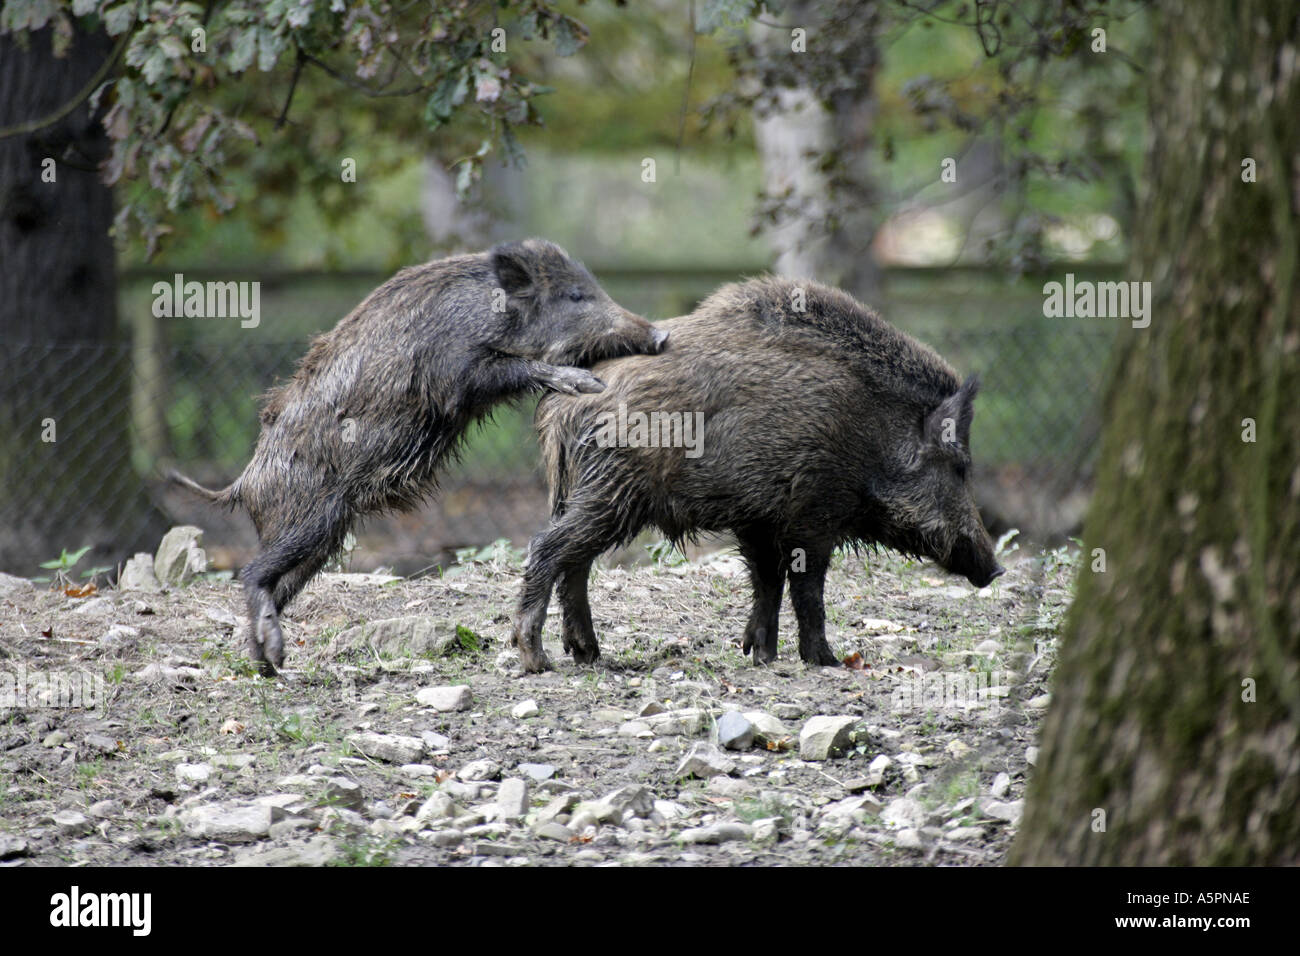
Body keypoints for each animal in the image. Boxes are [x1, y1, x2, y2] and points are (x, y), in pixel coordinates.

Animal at [172, 239, 669, 675]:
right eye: (575, 295)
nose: (660, 334)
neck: (489, 314)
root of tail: (242, 484)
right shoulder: (459, 373)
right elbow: (510, 369)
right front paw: (585, 383)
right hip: (310, 519)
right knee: (251, 573)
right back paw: (273, 656)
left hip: (322, 537)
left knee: (275, 586)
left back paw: (266, 667)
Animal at [512, 276, 1003, 673]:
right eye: (960, 467)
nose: (996, 569)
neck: (874, 433)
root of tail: (561, 404)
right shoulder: (813, 514)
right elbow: (807, 589)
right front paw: (825, 661)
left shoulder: (759, 518)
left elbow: (768, 581)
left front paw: (761, 654)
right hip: (612, 493)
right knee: (547, 549)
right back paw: (537, 658)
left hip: (590, 494)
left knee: (575, 563)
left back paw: (588, 655)